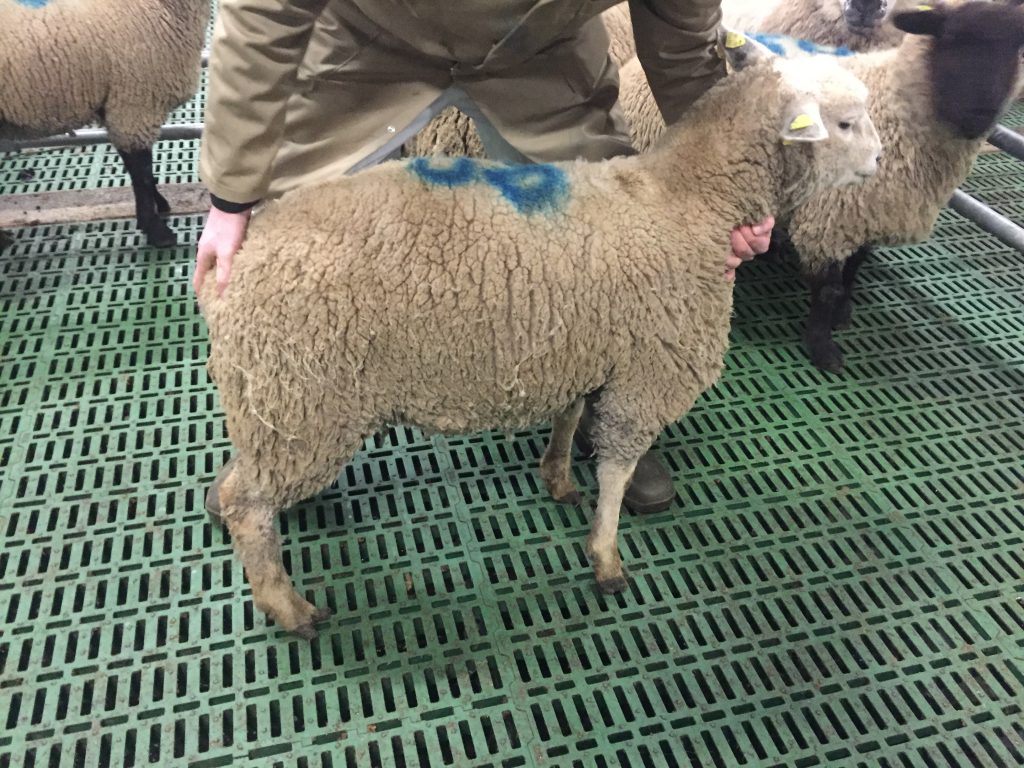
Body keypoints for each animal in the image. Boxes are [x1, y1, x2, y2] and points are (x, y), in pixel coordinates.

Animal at [0, 0, 210, 247]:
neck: (158, 9)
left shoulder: (122, 110)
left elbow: (139, 171)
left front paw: (157, 208)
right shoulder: (134, 106)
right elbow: (142, 174)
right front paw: (157, 230)